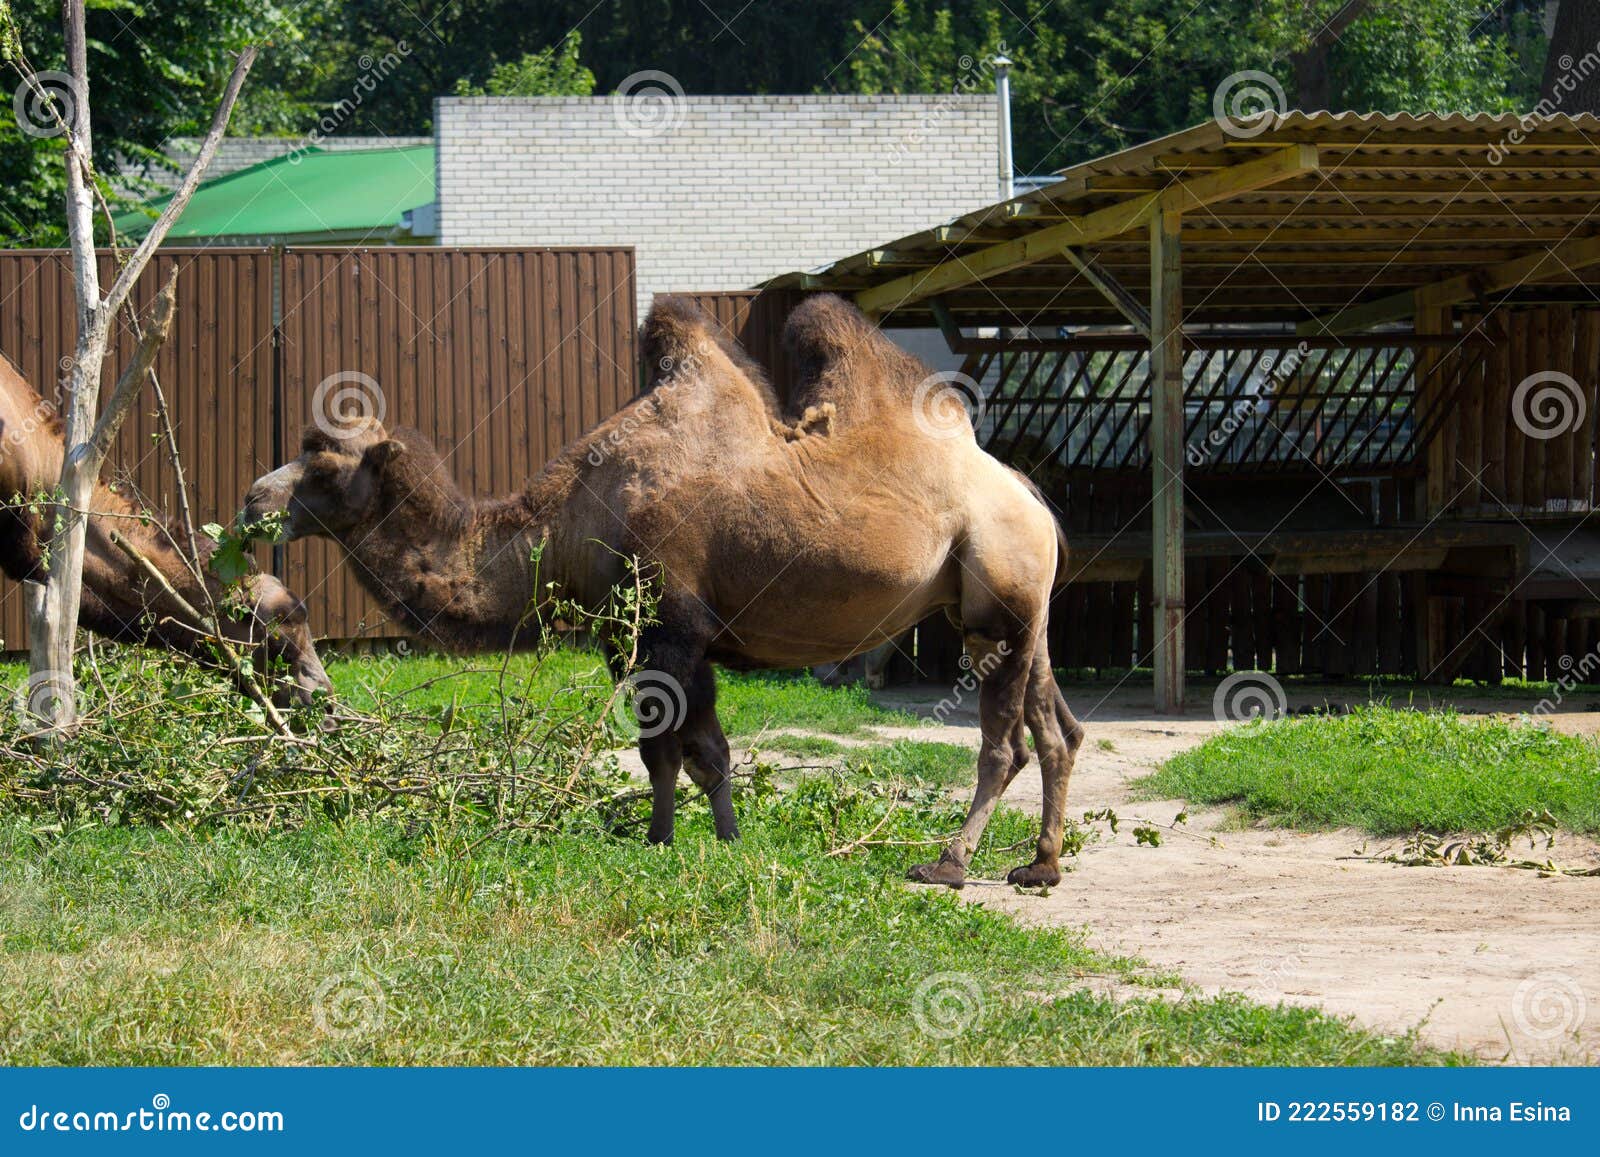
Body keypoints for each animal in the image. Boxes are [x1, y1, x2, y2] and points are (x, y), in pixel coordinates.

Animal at [240, 295, 1083, 887]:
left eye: (323, 463)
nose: (252, 499)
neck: (571, 521)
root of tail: (1030, 496)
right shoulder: (655, 637)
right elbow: (701, 749)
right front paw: (719, 840)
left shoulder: (664, 626)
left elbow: (667, 749)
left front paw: (667, 840)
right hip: (1016, 603)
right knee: (1056, 728)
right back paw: (1040, 865)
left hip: (998, 588)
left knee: (1004, 742)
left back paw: (949, 863)